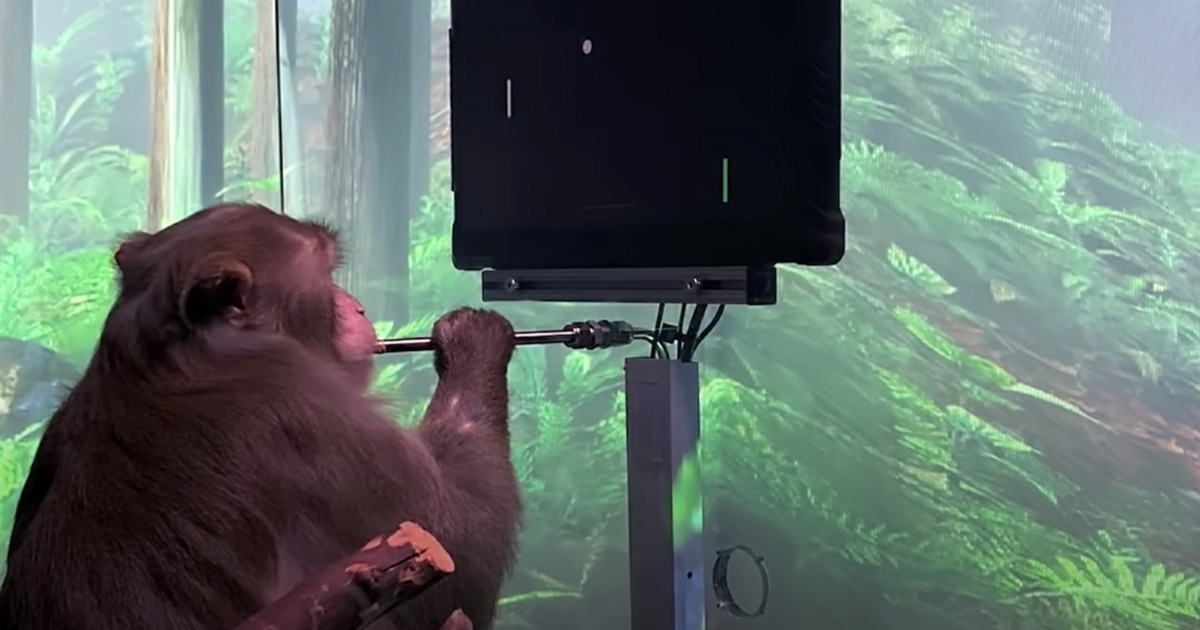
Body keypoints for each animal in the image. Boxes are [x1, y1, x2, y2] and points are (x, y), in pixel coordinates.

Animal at [0, 203, 522, 630]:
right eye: (327, 274)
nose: (357, 307)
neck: (182, 354)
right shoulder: (311, 413)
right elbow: (461, 552)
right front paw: (472, 339)